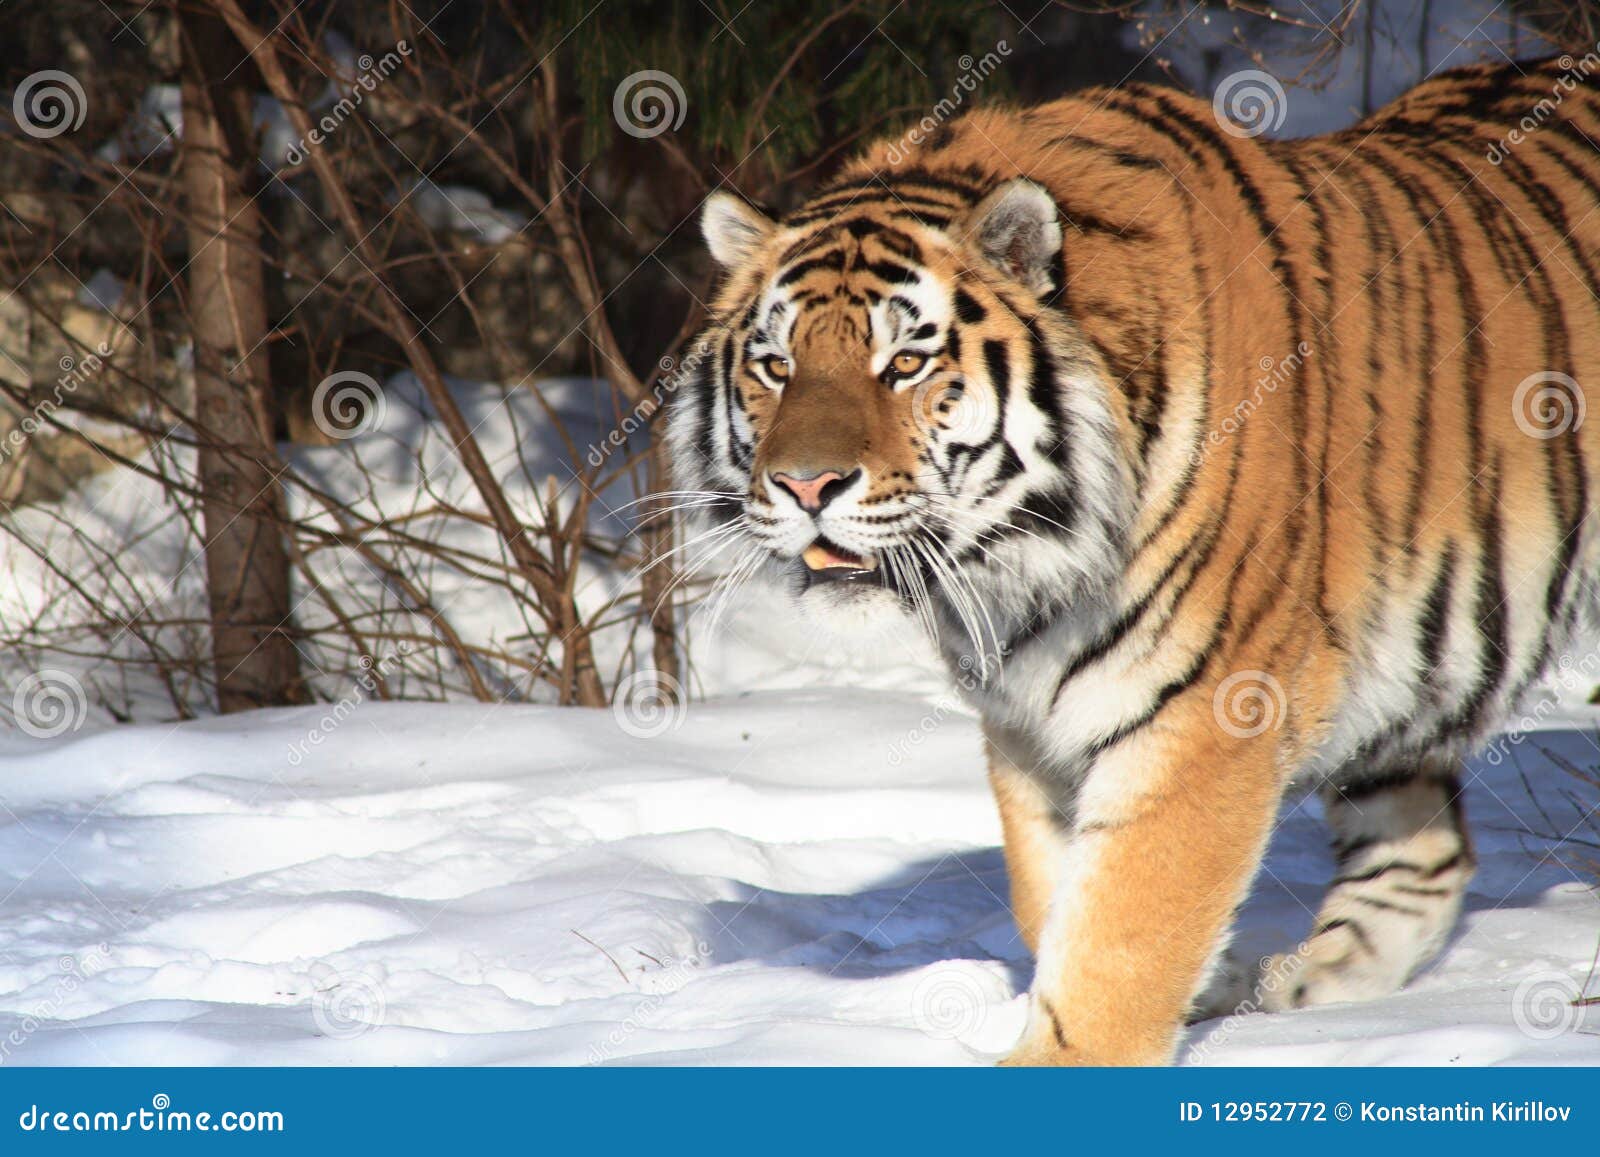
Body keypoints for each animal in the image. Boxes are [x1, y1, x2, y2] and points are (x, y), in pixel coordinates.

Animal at [664, 54, 1600, 1065]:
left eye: (906, 363)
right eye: (775, 365)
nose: (806, 484)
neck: (1021, 563)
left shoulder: (1206, 712)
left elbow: (1122, 937)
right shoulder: (1027, 729)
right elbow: (1052, 904)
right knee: (1423, 853)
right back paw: (1305, 987)